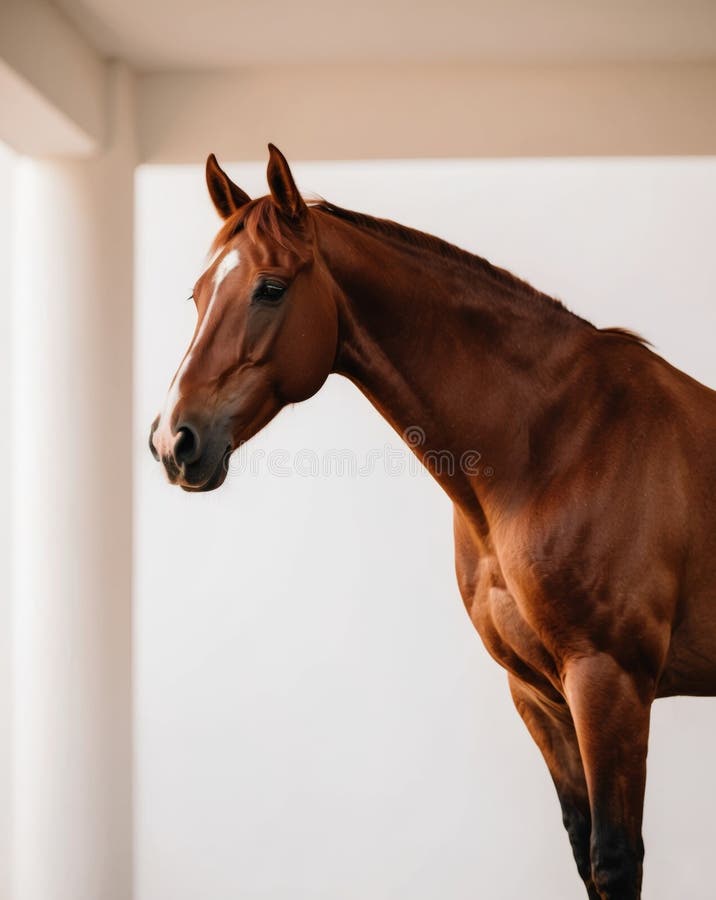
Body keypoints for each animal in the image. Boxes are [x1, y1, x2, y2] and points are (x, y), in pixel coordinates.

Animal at [149, 145, 716, 900]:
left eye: (269, 288)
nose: (172, 440)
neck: (552, 448)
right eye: (197, 295)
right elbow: (584, 852)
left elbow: (617, 860)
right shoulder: (539, 695)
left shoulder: (611, 684)